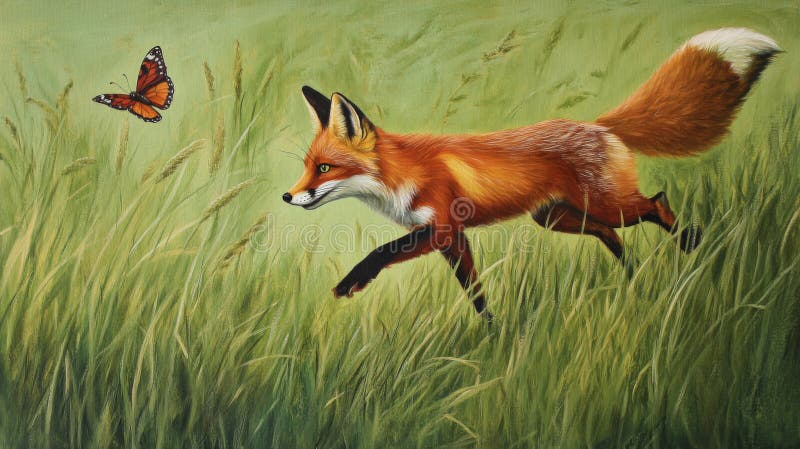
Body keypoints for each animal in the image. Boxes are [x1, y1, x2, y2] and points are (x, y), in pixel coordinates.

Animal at [283, 28, 780, 319]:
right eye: (306, 167)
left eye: (325, 168)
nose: (288, 198)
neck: (400, 173)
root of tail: (600, 125)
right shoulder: (453, 241)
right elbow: (475, 294)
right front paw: (491, 332)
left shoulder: (442, 228)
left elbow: (381, 252)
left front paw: (351, 283)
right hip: (558, 217)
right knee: (613, 236)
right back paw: (634, 276)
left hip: (605, 205)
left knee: (654, 204)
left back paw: (690, 243)